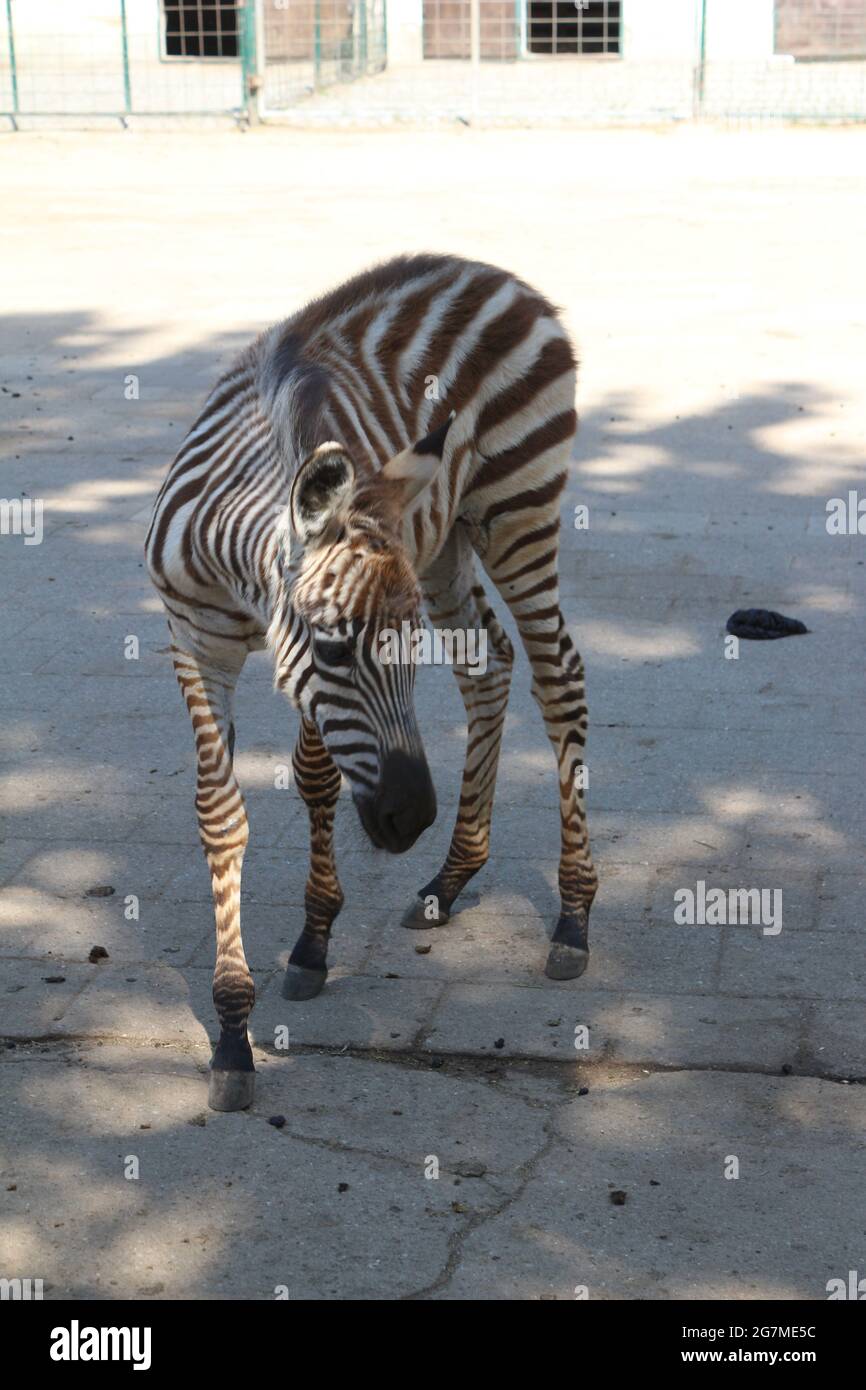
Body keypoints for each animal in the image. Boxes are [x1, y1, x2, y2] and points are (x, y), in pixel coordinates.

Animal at [145, 253, 598, 1112]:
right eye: (332, 648)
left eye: (404, 650)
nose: (411, 816)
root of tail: (492, 271)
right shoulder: (195, 643)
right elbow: (222, 815)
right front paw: (232, 1033)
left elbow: (316, 775)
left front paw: (311, 941)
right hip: (442, 536)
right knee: (489, 666)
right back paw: (452, 878)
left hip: (518, 507)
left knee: (560, 681)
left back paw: (573, 916)